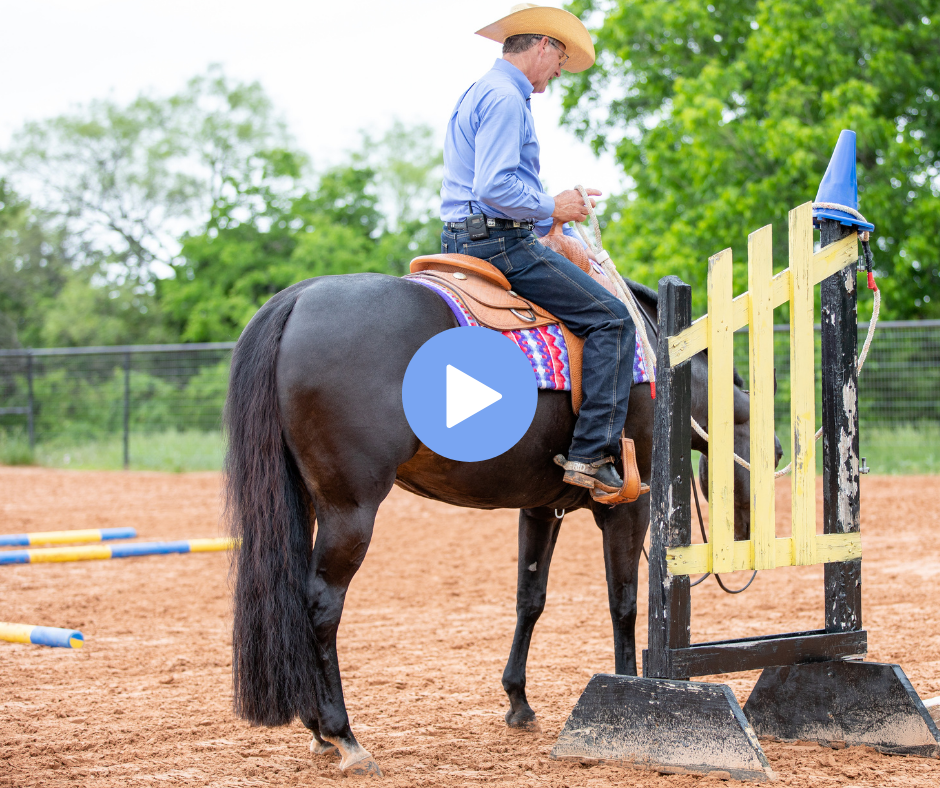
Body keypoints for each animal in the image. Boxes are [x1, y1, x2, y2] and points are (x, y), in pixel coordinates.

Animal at [224, 270, 778, 776]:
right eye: (768, 451)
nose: (750, 543)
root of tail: (299, 299)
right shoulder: (627, 509)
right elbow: (623, 602)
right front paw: (630, 691)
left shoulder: (540, 508)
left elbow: (530, 598)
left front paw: (518, 700)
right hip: (350, 508)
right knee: (321, 605)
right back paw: (344, 735)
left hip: (307, 502)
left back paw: (317, 728)